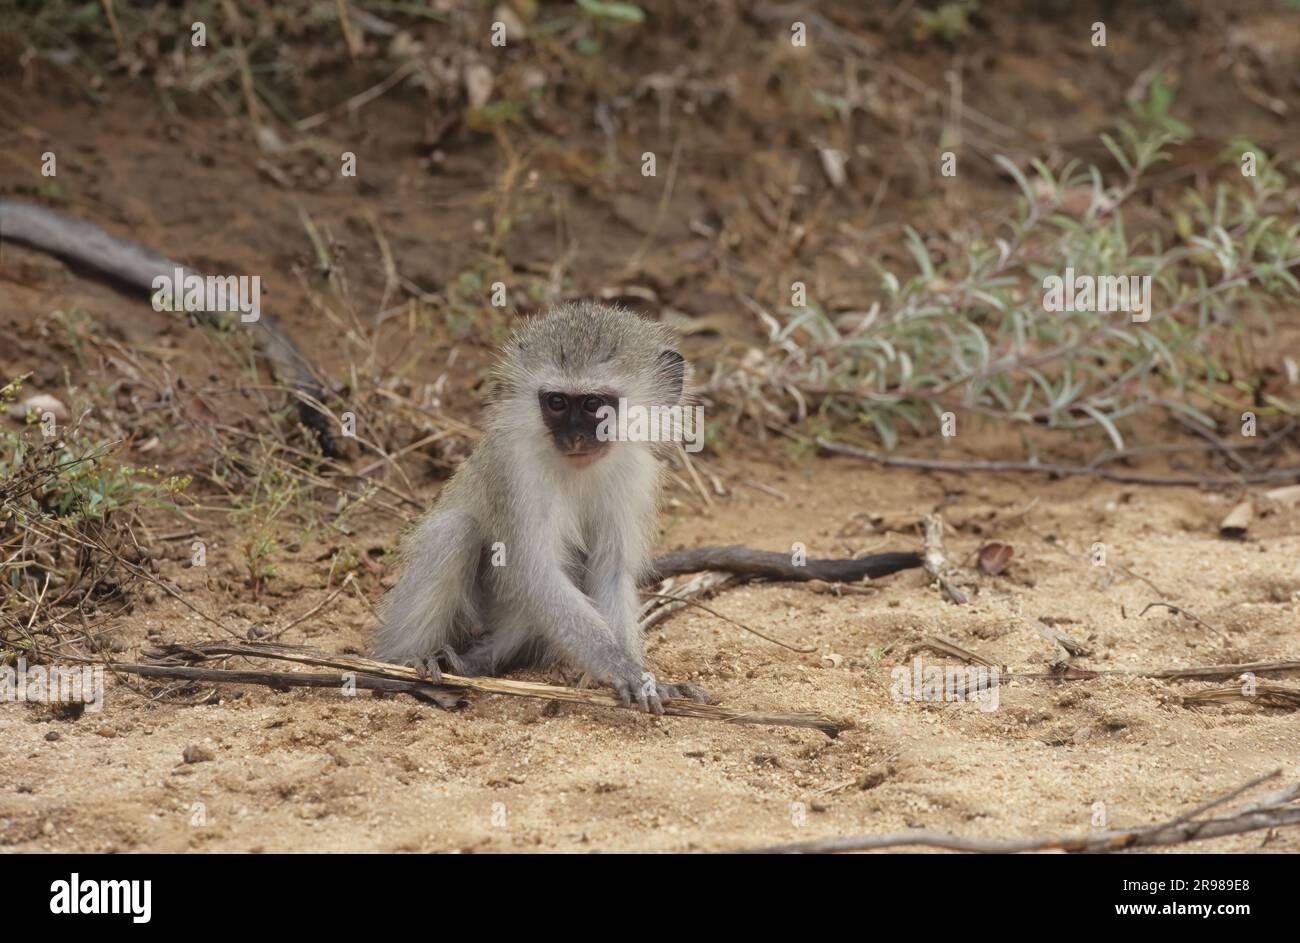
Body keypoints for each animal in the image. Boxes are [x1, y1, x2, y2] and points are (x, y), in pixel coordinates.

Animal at [374, 301, 707, 714]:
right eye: (557, 402)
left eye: (594, 404)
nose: (575, 437)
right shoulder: (517, 469)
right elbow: (535, 571)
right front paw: (622, 668)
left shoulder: (634, 475)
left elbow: (610, 571)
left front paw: (644, 673)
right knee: (455, 531)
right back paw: (405, 662)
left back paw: (476, 662)